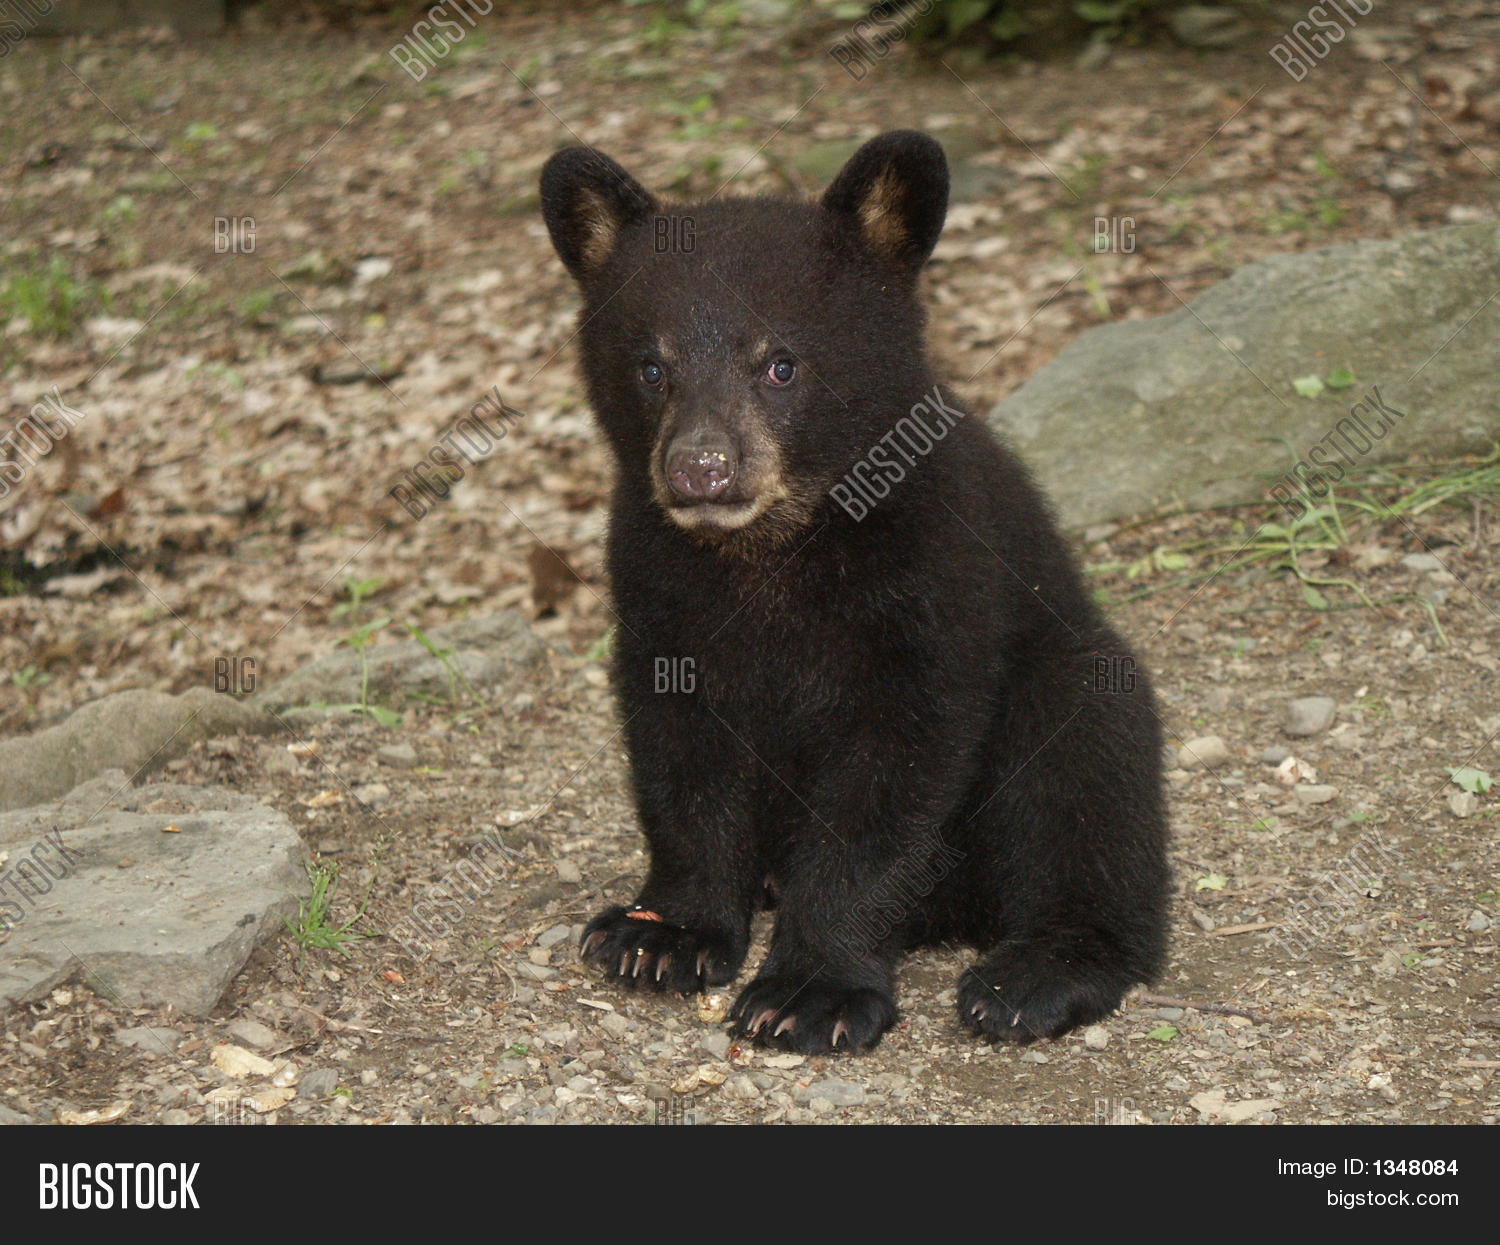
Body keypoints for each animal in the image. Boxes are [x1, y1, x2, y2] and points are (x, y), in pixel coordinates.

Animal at [539, 131, 1170, 1055]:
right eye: (651, 366)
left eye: (781, 363)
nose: (700, 468)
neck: (771, 551)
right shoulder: (659, 591)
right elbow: (680, 760)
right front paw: (665, 932)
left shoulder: (929, 587)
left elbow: (886, 786)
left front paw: (812, 990)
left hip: (1067, 669)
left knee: (1090, 763)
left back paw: (1034, 974)